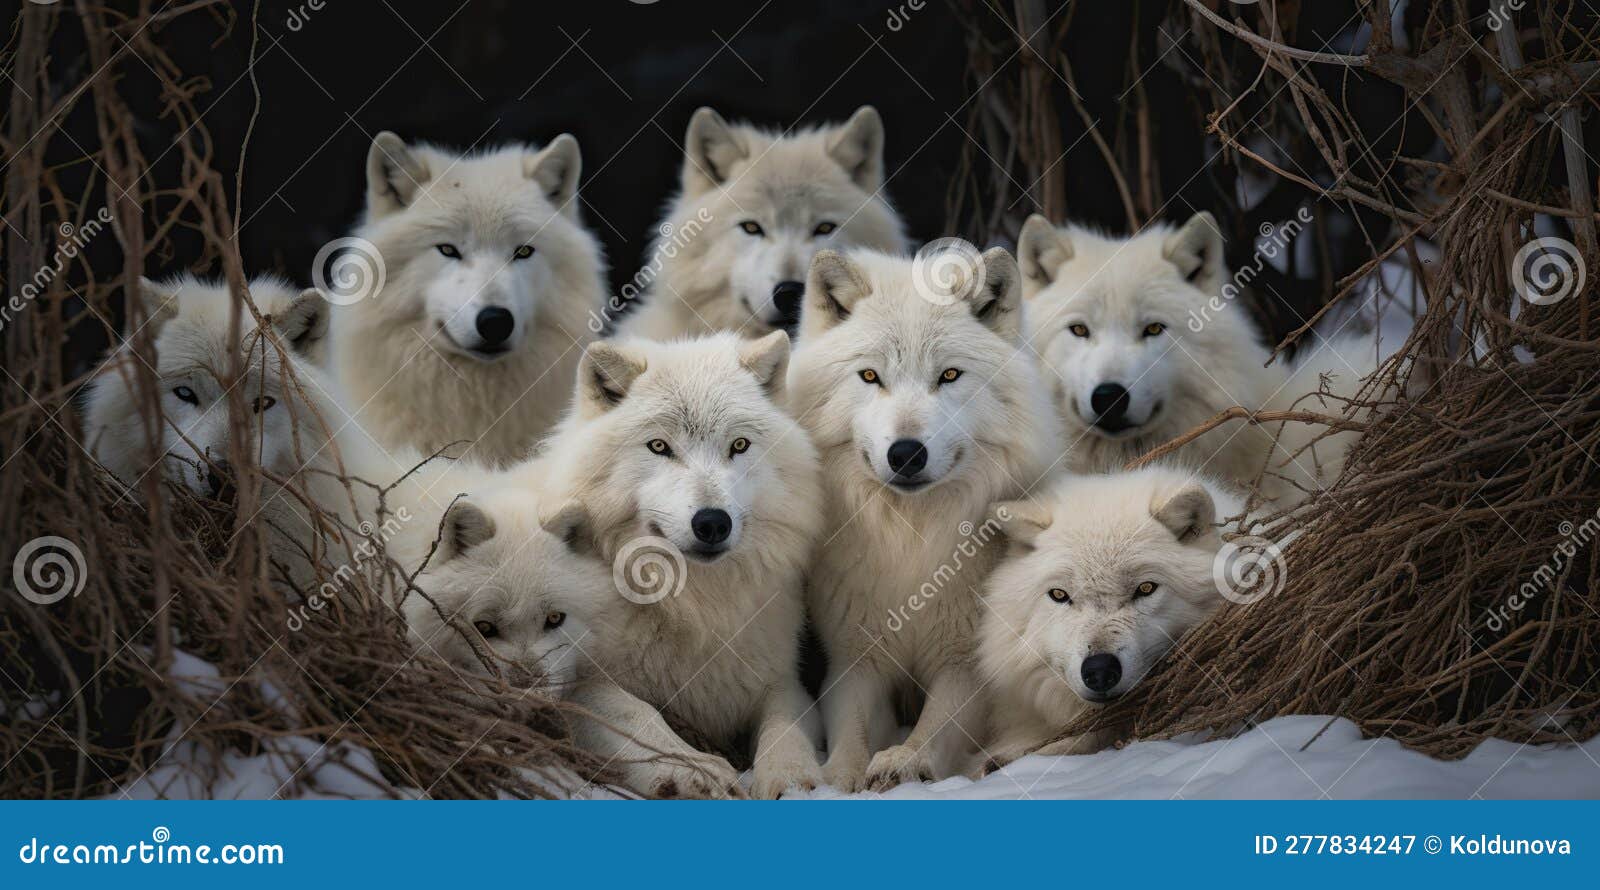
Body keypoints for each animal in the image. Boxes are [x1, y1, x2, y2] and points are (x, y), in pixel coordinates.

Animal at [527, 331, 825, 799]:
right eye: (659, 447)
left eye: (738, 446)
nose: (712, 522)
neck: (693, 606)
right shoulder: (576, 684)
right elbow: (635, 714)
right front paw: (694, 769)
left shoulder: (780, 681)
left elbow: (785, 727)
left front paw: (792, 779)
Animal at [786, 246, 1063, 791]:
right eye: (870, 376)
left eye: (949, 376)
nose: (907, 453)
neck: (911, 545)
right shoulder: (855, 656)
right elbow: (850, 725)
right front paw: (841, 774)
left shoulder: (967, 662)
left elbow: (939, 723)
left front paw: (906, 761)